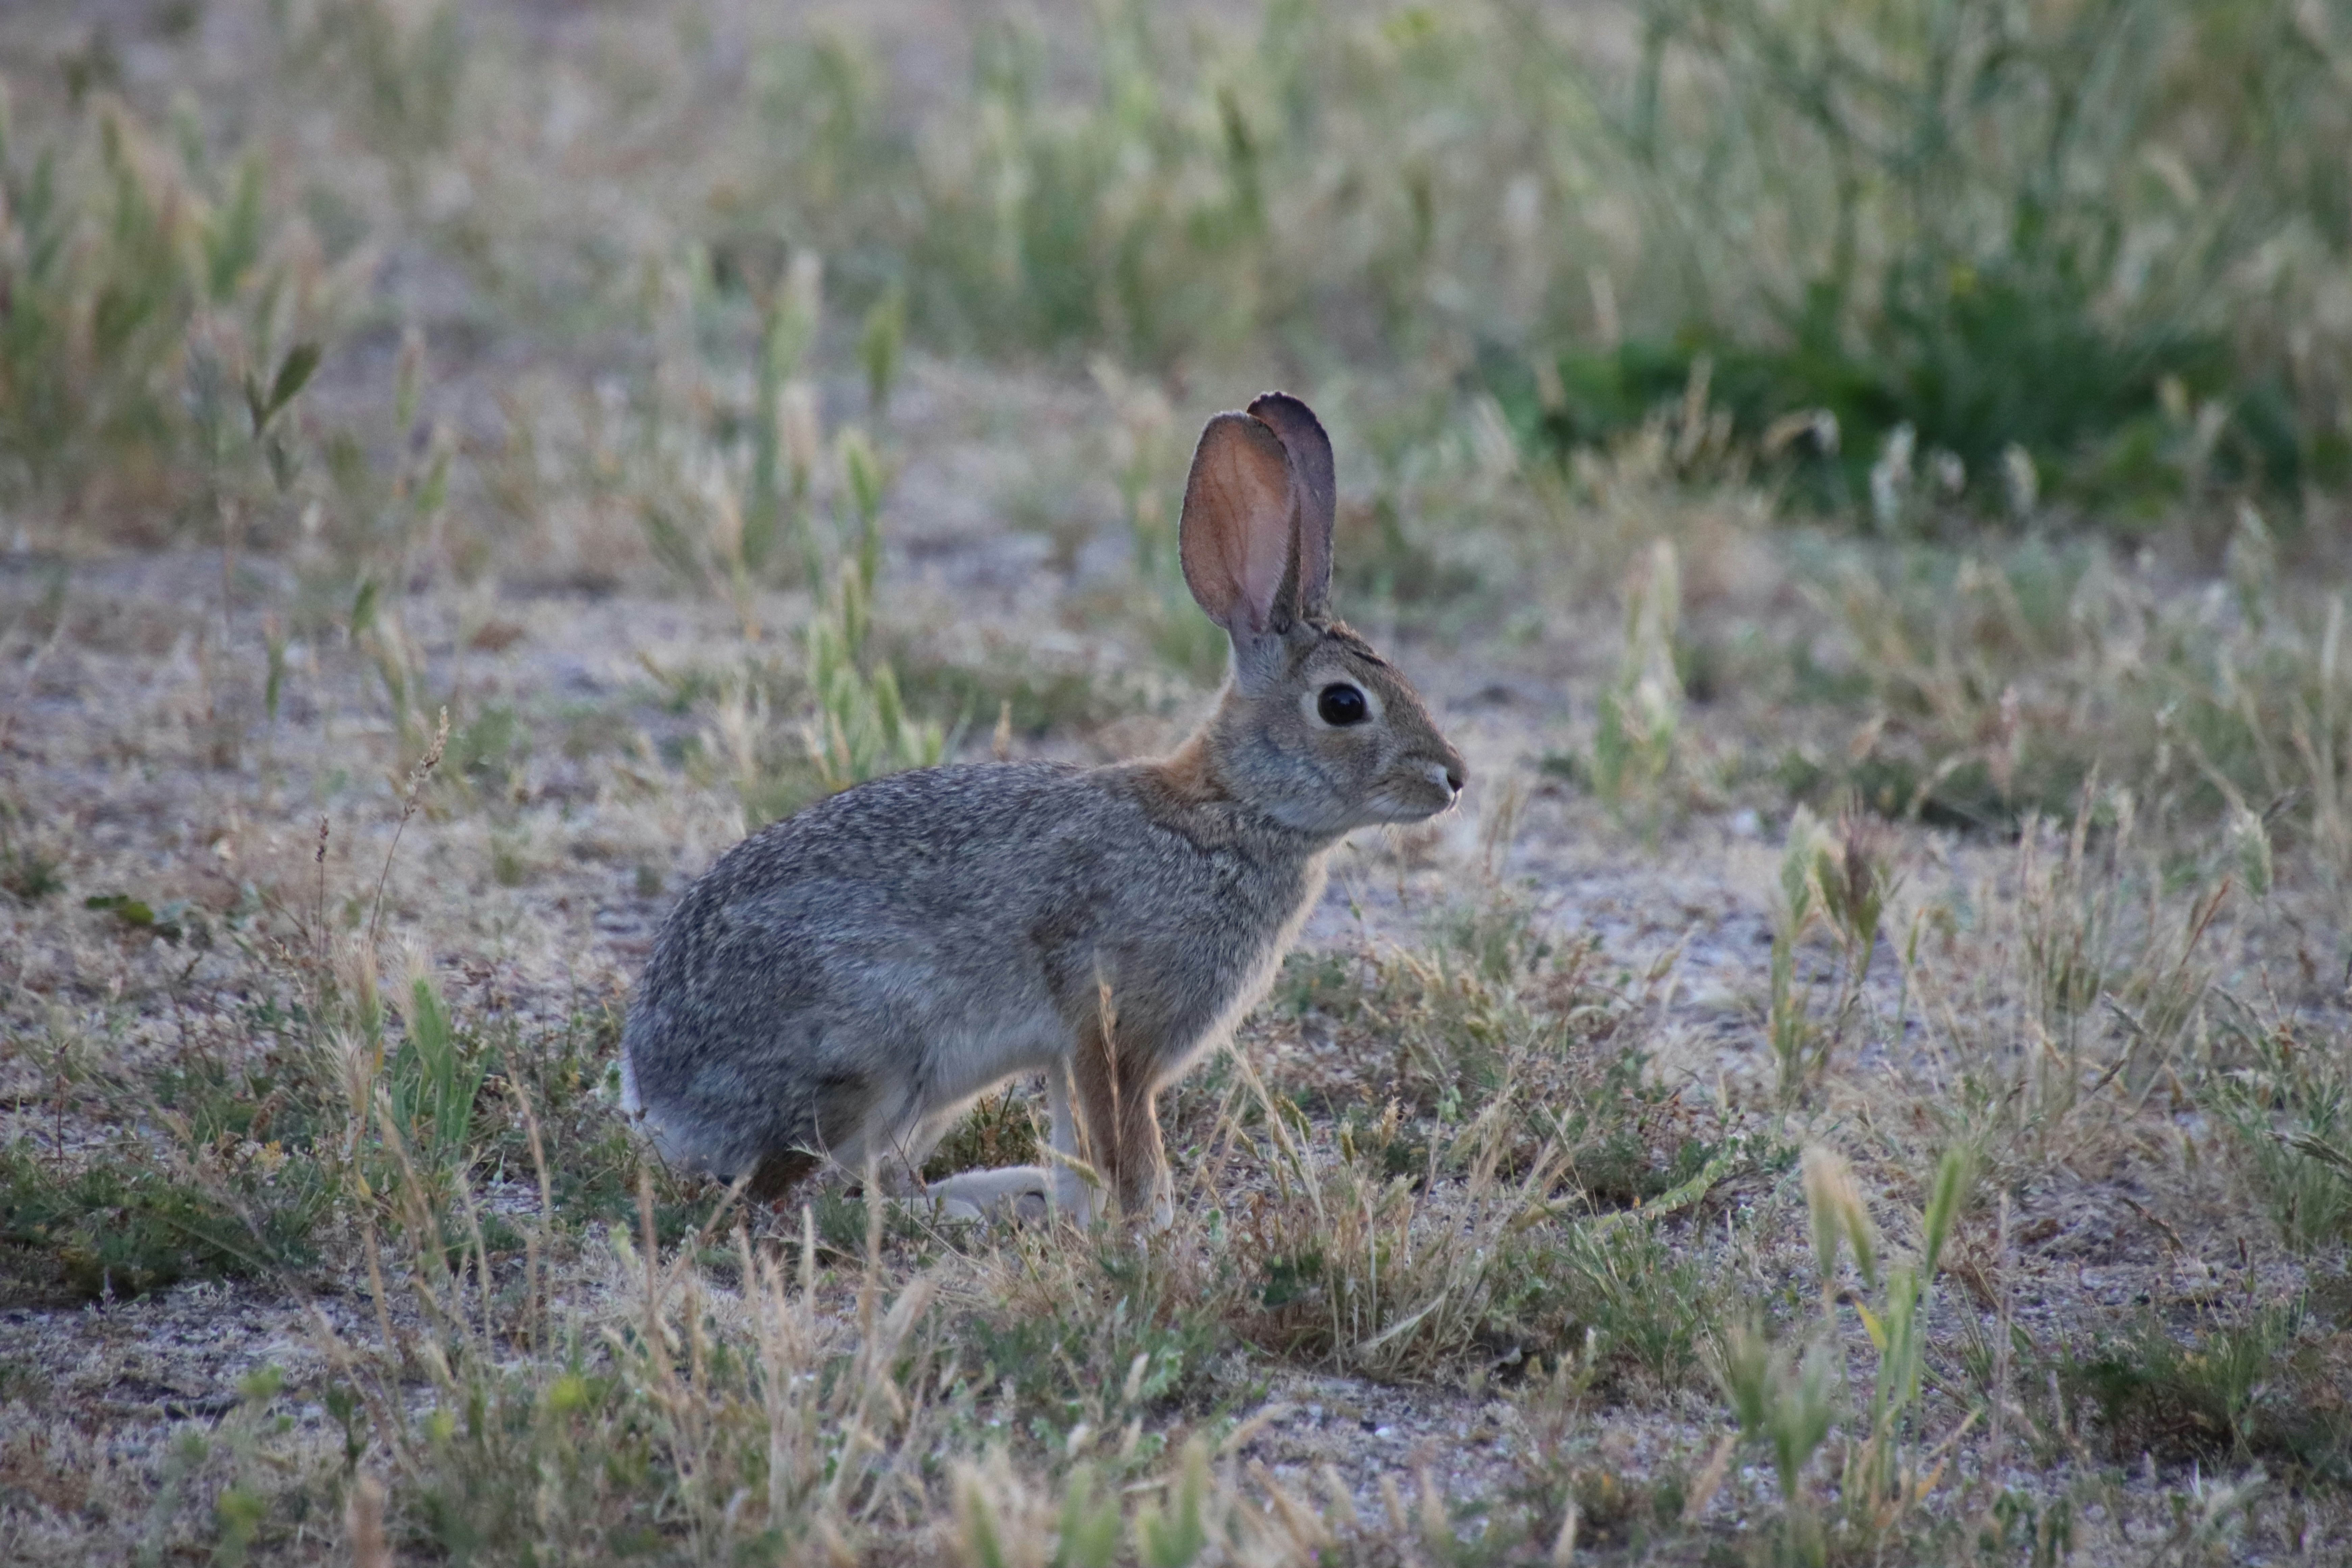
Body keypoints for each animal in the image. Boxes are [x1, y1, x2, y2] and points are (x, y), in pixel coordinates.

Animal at [619, 392, 1465, 1227]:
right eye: (1343, 704)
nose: (1452, 778)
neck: (1232, 811)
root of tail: (657, 1092)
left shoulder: (1073, 1050)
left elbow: (1081, 1137)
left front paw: (1095, 1220)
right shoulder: (1114, 1024)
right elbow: (1127, 1144)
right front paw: (1145, 1232)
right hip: (876, 1061)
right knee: (799, 1198)